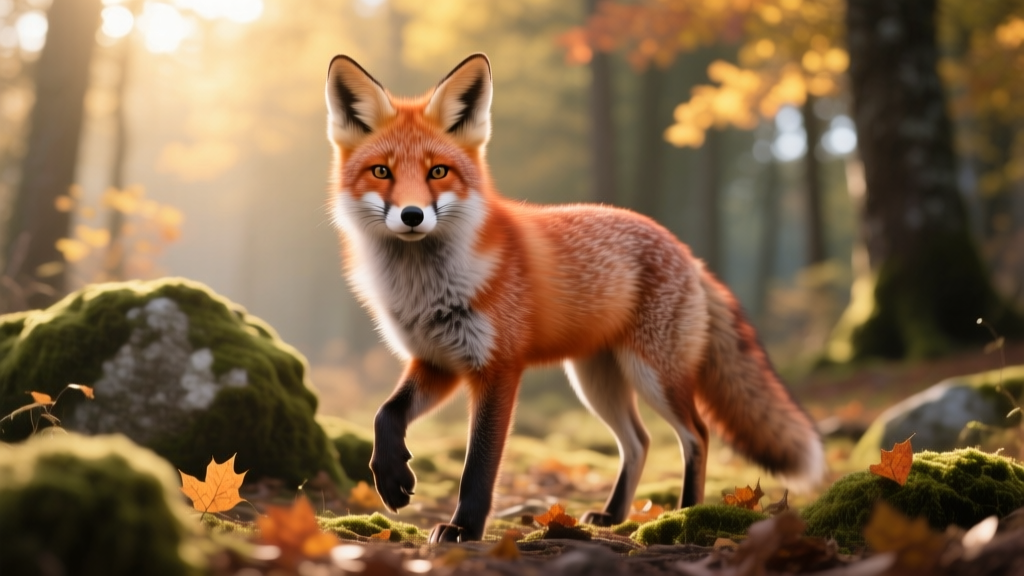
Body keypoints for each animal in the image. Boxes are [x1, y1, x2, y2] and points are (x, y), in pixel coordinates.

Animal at [324, 53, 825, 543]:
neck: (426, 289)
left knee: (696, 434)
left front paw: (464, 528)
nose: (412, 215)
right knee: (639, 441)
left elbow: (479, 463)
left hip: (654, 374)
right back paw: (613, 514)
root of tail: (687, 252)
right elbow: (385, 414)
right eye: (382, 171)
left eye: (438, 172)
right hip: (595, 382)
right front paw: (392, 480)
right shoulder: (439, 362)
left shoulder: (498, 367)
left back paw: (685, 515)